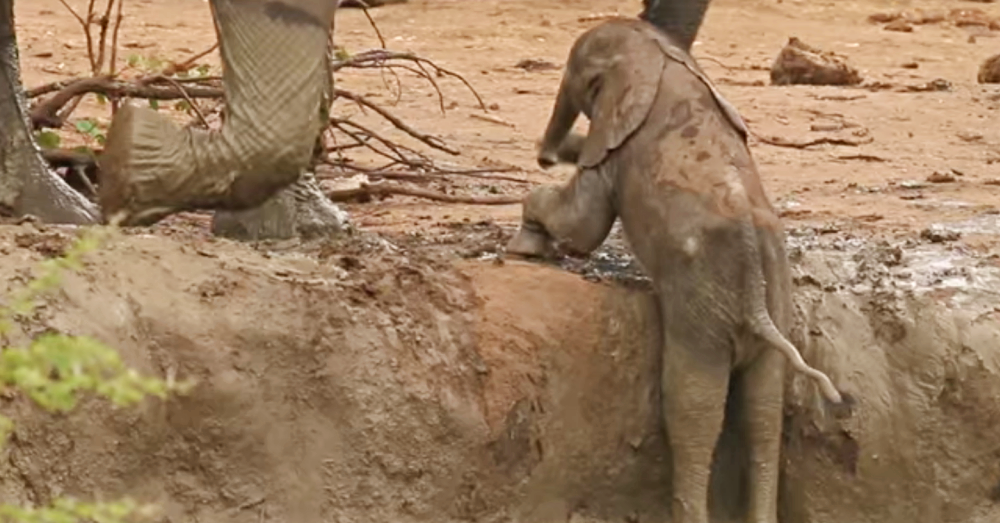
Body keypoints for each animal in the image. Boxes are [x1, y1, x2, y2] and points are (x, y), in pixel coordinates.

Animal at [504, 18, 847, 523]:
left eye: (582, 79)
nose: (546, 154)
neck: (660, 54)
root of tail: (755, 301)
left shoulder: (617, 150)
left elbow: (585, 222)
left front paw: (525, 244)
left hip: (700, 309)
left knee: (693, 408)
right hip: (776, 302)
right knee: (764, 406)